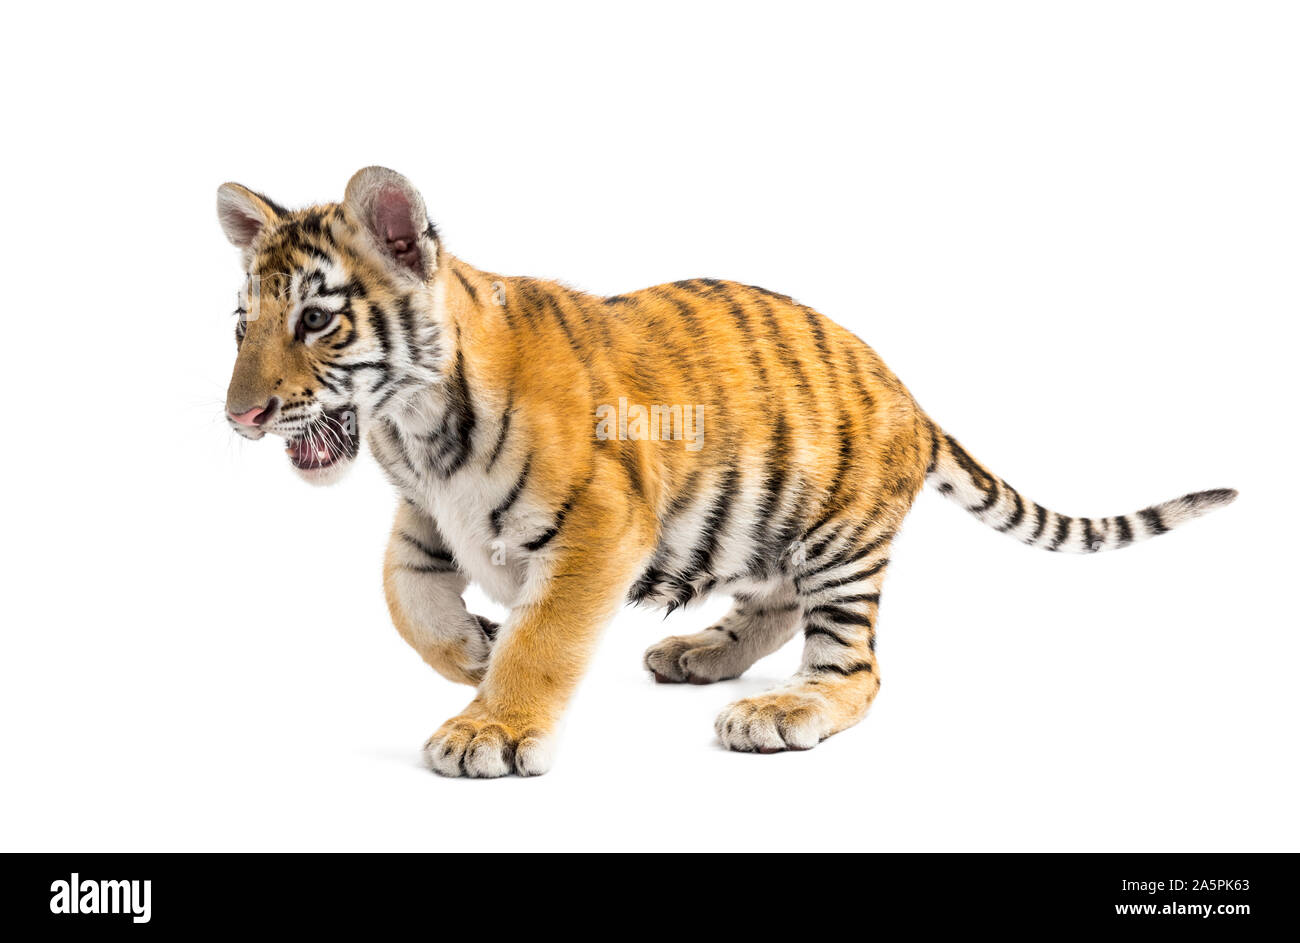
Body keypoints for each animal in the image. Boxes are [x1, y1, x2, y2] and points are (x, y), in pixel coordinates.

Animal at [218, 166, 1236, 778]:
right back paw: (700, 650)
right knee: (774, 601)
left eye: (316, 320)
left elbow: (546, 634)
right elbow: (402, 591)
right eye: (241, 326)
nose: (240, 415)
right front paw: (468, 649)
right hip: (759, 522)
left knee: (857, 667)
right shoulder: (429, 514)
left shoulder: (602, 523)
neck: (413, 429)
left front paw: (492, 725)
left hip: (843, 540)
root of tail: (907, 391)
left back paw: (783, 708)